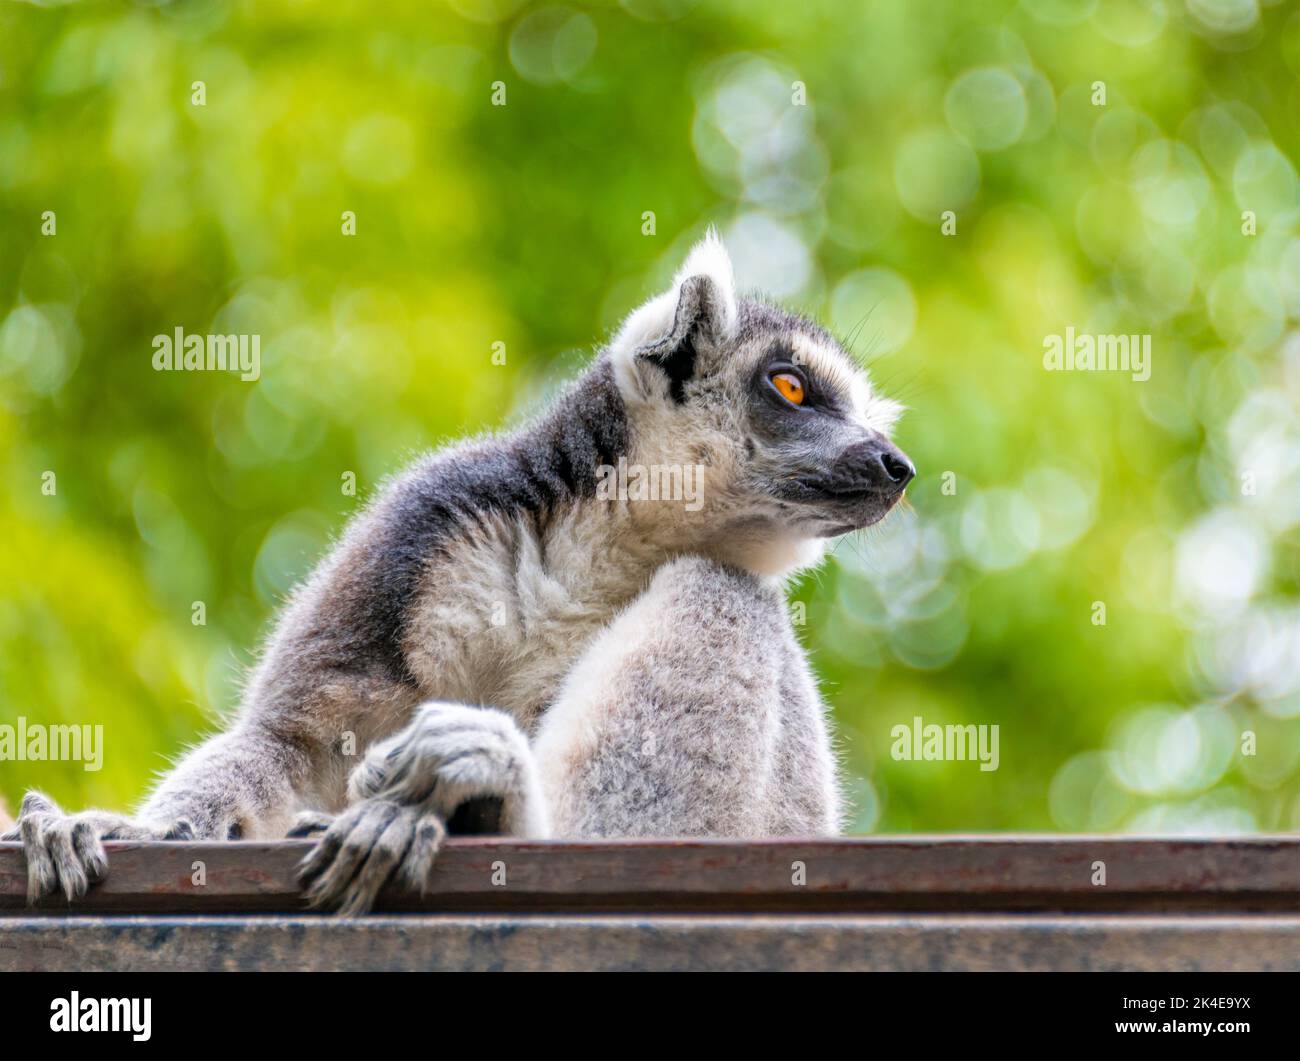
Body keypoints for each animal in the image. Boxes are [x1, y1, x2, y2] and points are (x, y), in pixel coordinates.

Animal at [6, 232, 914, 915]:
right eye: (791, 386)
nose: (896, 464)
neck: (605, 546)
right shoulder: (417, 535)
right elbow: (290, 741)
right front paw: (125, 830)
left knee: (716, 593)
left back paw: (496, 804)